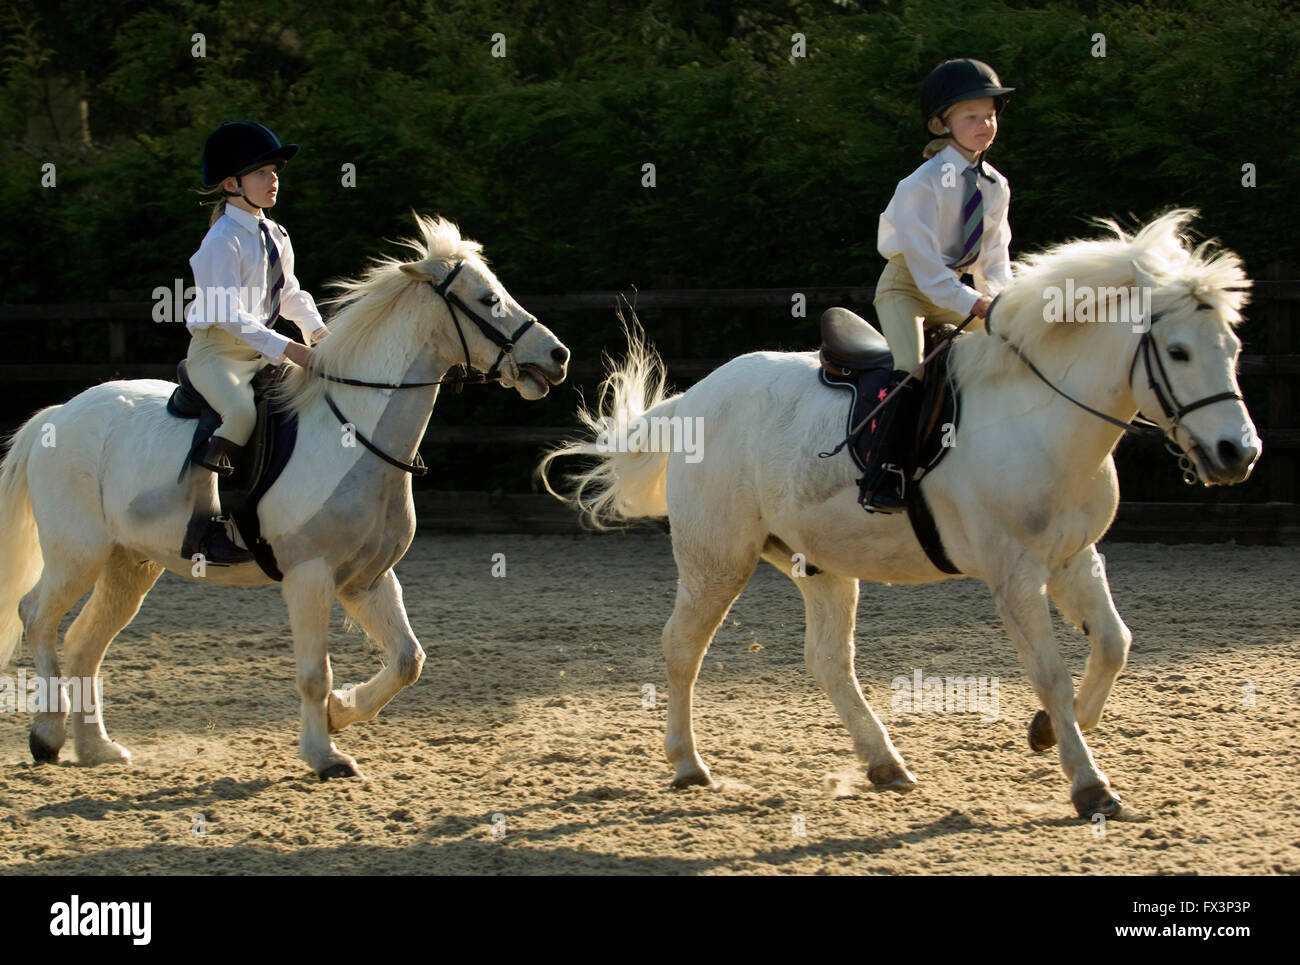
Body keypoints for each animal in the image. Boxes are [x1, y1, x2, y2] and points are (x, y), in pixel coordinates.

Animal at [1, 215, 569, 780]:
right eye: (489, 300)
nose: (557, 356)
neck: (356, 433)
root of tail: (58, 414)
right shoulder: (309, 577)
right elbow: (315, 673)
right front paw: (325, 754)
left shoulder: (367, 580)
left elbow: (408, 660)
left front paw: (340, 713)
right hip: (78, 555)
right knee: (37, 616)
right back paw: (47, 735)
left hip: (129, 564)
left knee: (83, 643)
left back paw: (97, 748)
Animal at [546, 211, 1258, 816]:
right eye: (1178, 352)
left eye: (1232, 347)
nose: (1238, 453)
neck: (1040, 417)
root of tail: (697, 397)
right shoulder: (1015, 576)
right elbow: (1050, 673)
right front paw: (1088, 785)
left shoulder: (1073, 558)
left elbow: (1113, 644)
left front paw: (1048, 734)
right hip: (717, 561)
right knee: (683, 648)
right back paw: (689, 764)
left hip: (820, 565)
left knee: (827, 661)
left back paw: (884, 763)